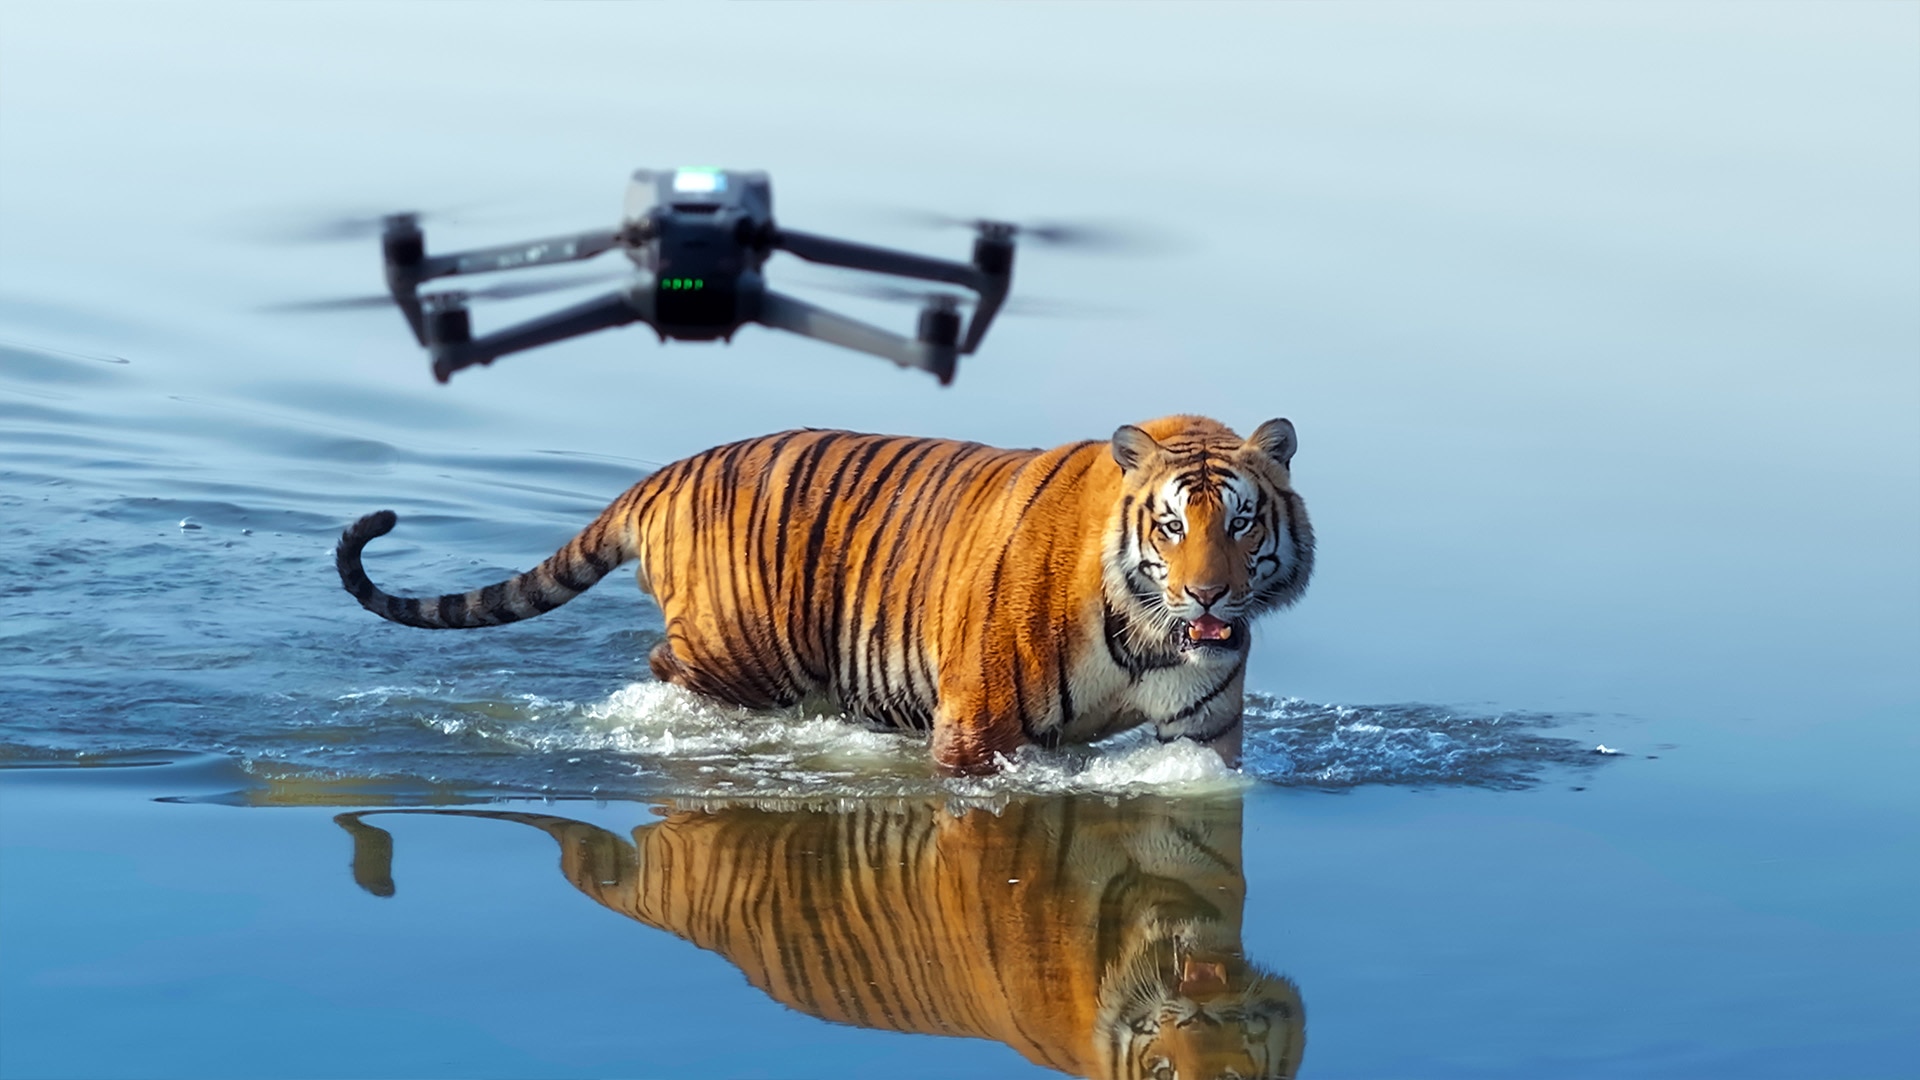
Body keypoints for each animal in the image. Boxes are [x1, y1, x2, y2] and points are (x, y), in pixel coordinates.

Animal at [335, 415, 1314, 774]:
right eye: (1171, 527)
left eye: (1242, 523)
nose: (1210, 599)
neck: (1146, 629)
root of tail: (665, 473)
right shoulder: (977, 726)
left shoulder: (1205, 734)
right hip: (738, 653)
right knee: (663, 669)